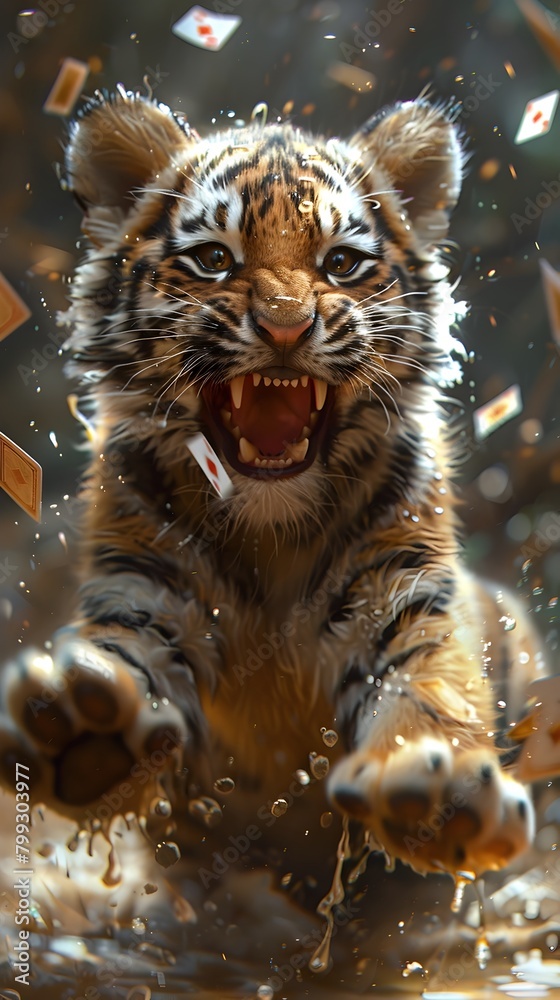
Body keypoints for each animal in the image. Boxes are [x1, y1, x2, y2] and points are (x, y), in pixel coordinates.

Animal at [0, 90, 546, 900]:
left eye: (342, 264)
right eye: (214, 259)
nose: (287, 327)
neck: (271, 530)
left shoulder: (400, 587)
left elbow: (431, 684)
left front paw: (434, 787)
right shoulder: (145, 586)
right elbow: (126, 657)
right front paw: (84, 732)